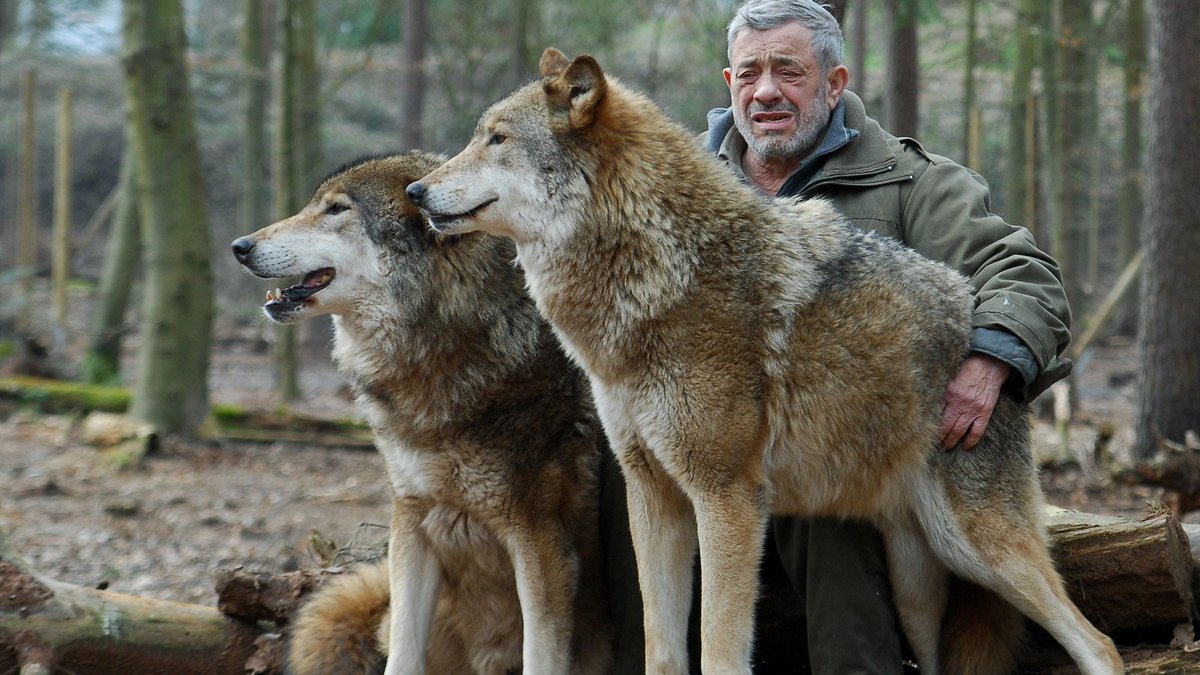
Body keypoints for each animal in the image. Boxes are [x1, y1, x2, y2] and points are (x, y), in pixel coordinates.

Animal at [230, 151, 612, 675]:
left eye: (337, 209)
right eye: (315, 204)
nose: (239, 246)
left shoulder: (540, 543)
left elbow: (541, 655)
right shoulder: (412, 519)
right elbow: (402, 656)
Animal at [404, 50, 1123, 675]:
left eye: (496, 138)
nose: (413, 190)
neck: (662, 272)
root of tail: (988, 333)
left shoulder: (726, 497)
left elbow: (721, 652)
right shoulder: (653, 491)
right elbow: (663, 648)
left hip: (977, 546)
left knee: (1100, 644)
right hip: (919, 577)